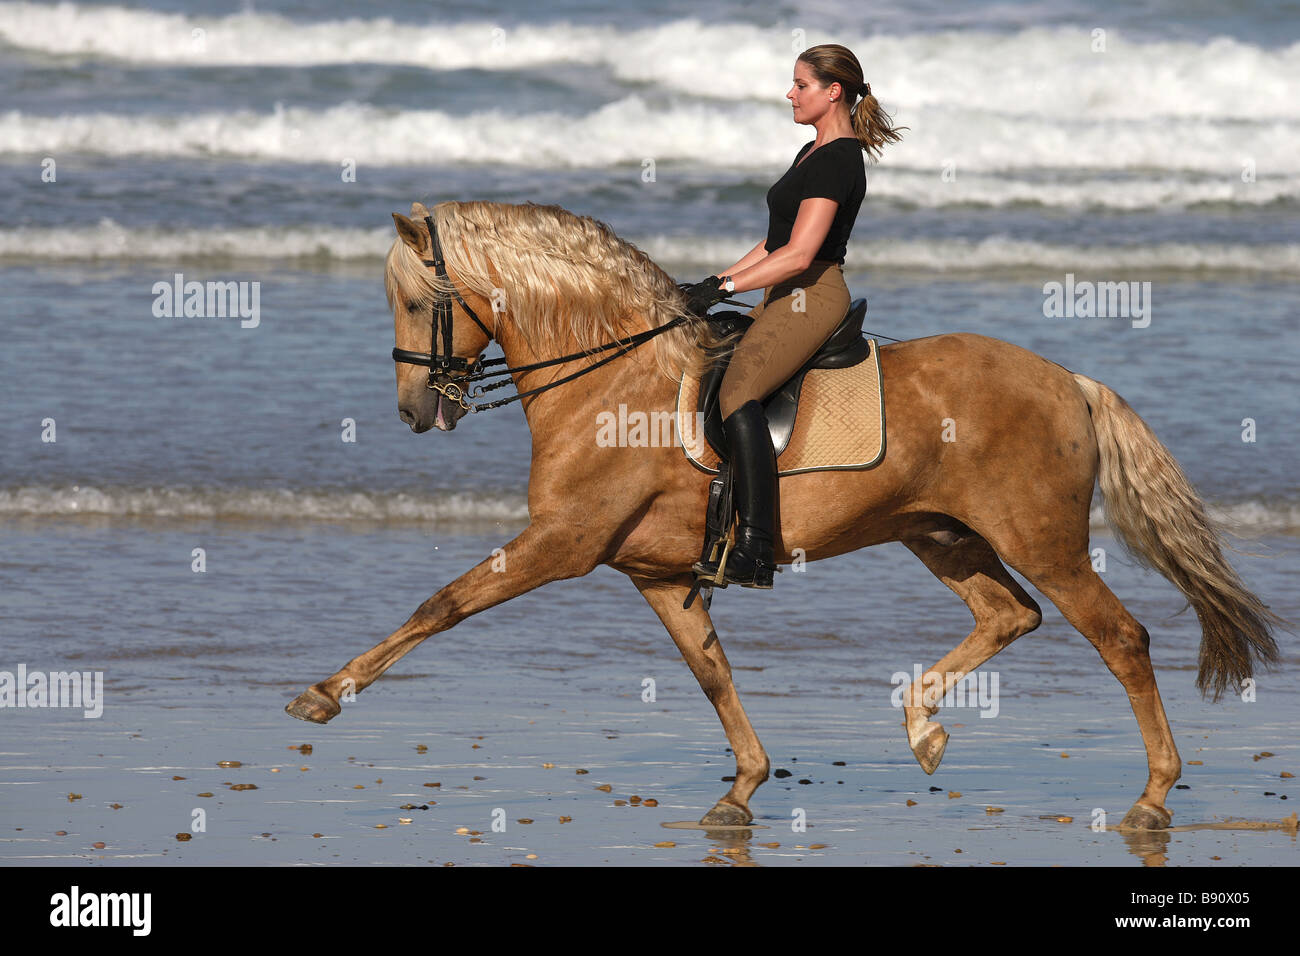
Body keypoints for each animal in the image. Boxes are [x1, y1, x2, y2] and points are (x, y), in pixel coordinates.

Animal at [287, 199, 1284, 830]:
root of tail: (1070, 381)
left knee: (1120, 639)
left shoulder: (560, 543)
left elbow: (443, 603)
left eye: (413, 300)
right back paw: (922, 725)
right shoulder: (657, 574)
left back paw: (1152, 796)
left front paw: (326, 694)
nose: (415, 410)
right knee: (1011, 615)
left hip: (1040, 541)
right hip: (941, 535)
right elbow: (712, 674)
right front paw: (744, 789)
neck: (611, 377)